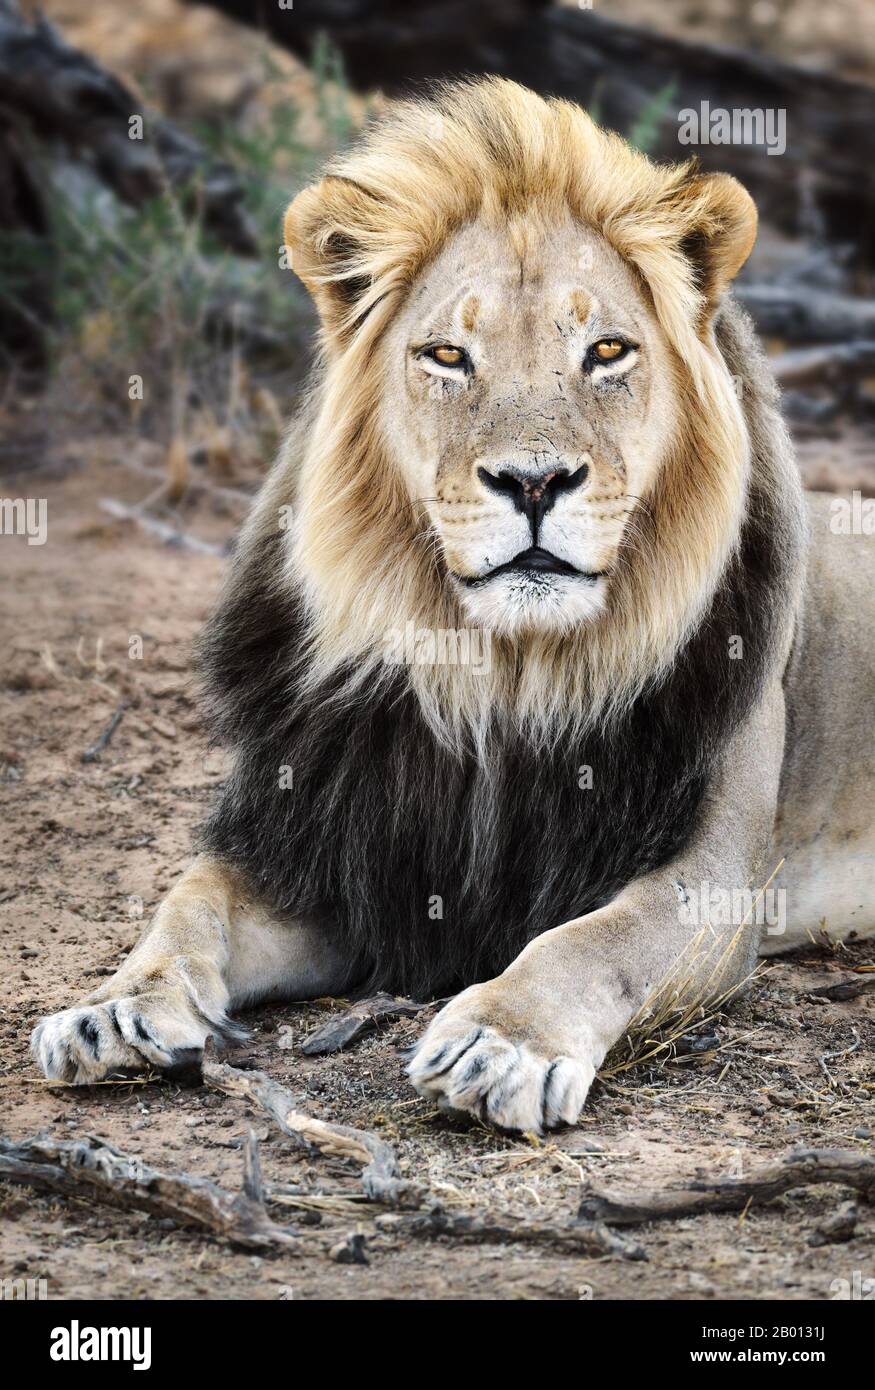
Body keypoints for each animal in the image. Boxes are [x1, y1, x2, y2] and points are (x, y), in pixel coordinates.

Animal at [32, 79, 875, 1133]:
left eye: (606, 350)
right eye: (445, 355)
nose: (533, 481)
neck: (499, 674)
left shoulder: (715, 876)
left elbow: (591, 941)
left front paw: (501, 1040)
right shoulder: (331, 849)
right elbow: (188, 898)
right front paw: (114, 1006)